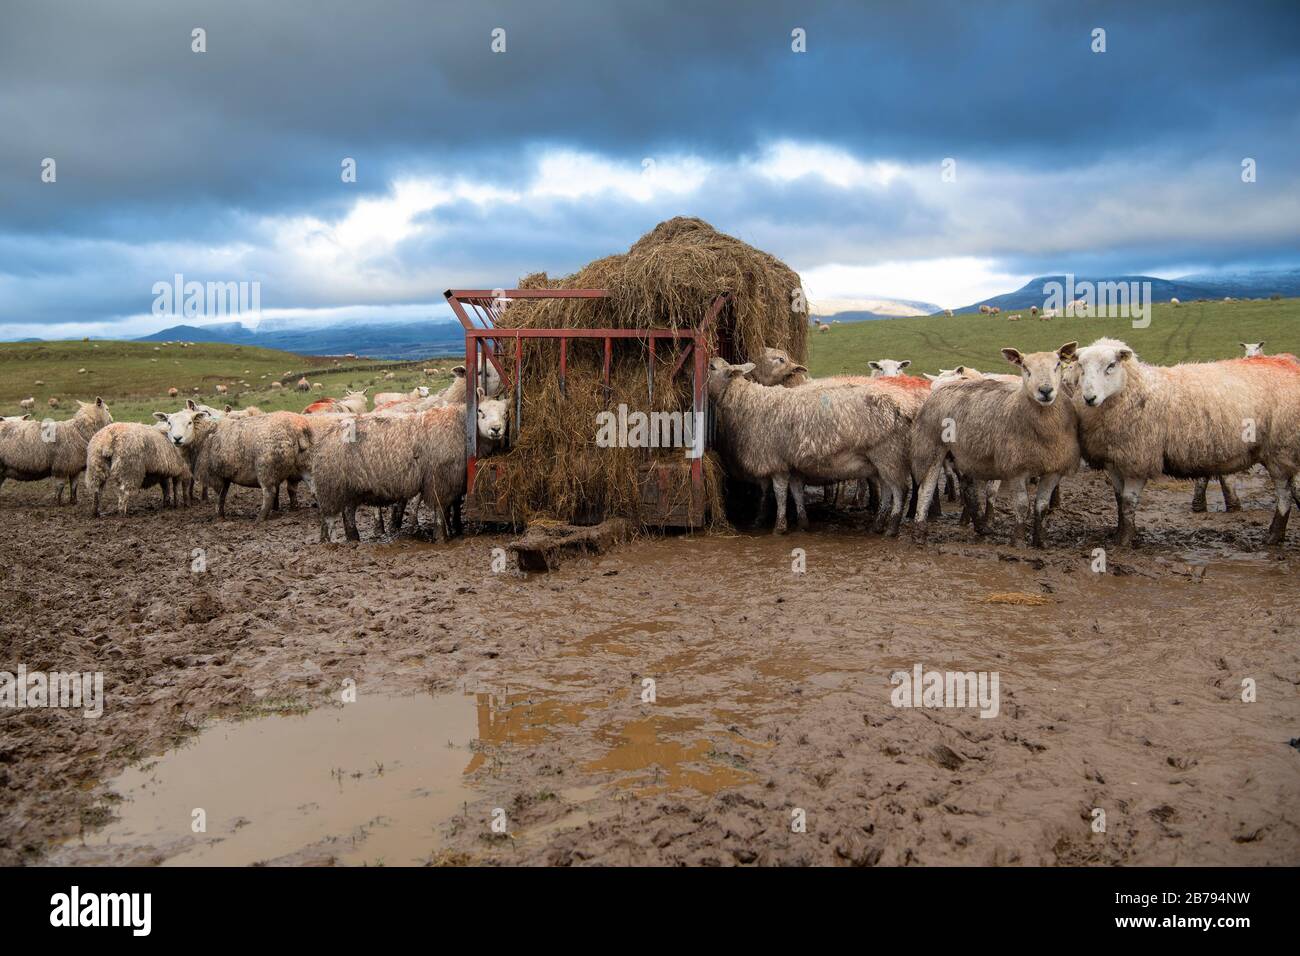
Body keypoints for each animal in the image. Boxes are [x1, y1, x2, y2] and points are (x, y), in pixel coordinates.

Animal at [156, 407, 315, 521]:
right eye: (169, 423)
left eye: (189, 423)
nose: (177, 438)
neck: (204, 435)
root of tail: (298, 429)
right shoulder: (225, 474)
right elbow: (223, 495)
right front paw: (221, 514)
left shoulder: (215, 474)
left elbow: (219, 496)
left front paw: (219, 516)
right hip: (305, 463)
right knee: (312, 486)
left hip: (266, 467)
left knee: (269, 492)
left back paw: (260, 518)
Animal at [311, 391, 508, 542]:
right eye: (480, 411)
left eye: (506, 413)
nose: (496, 429)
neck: (462, 428)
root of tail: (326, 436)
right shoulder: (439, 480)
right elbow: (439, 511)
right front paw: (442, 537)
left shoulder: (452, 481)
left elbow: (449, 508)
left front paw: (453, 530)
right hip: (331, 486)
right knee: (328, 519)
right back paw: (329, 542)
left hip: (349, 488)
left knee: (348, 514)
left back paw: (354, 539)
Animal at [708, 359, 914, 535]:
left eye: (711, 367)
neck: (746, 402)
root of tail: (905, 405)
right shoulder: (793, 464)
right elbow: (796, 492)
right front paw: (802, 523)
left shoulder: (775, 461)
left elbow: (779, 492)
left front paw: (779, 527)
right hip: (882, 460)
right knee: (887, 490)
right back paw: (878, 524)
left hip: (889, 454)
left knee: (899, 490)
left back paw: (891, 528)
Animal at [912, 343, 1080, 547]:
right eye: (1025, 367)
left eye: (1057, 365)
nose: (1045, 390)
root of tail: (942, 390)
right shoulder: (1014, 467)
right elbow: (1021, 504)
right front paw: (1018, 540)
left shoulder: (1054, 469)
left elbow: (1041, 506)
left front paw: (1041, 541)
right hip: (931, 446)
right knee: (926, 489)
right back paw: (920, 531)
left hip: (966, 452)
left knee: (968, 487)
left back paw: (980, 527)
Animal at [1072, 338, 1300, 545]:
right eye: (1081, 367)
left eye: (1111, 365)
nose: (1089, 398)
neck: (1136, 388)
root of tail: (1287, 363)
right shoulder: (1114, 461)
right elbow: (1119, 499)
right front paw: (1118, 533)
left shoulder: (1138, 458)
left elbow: (1129, 502)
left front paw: (1124, 541)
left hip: (1280, 449)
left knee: (1284, 494)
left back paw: (1273, 537)